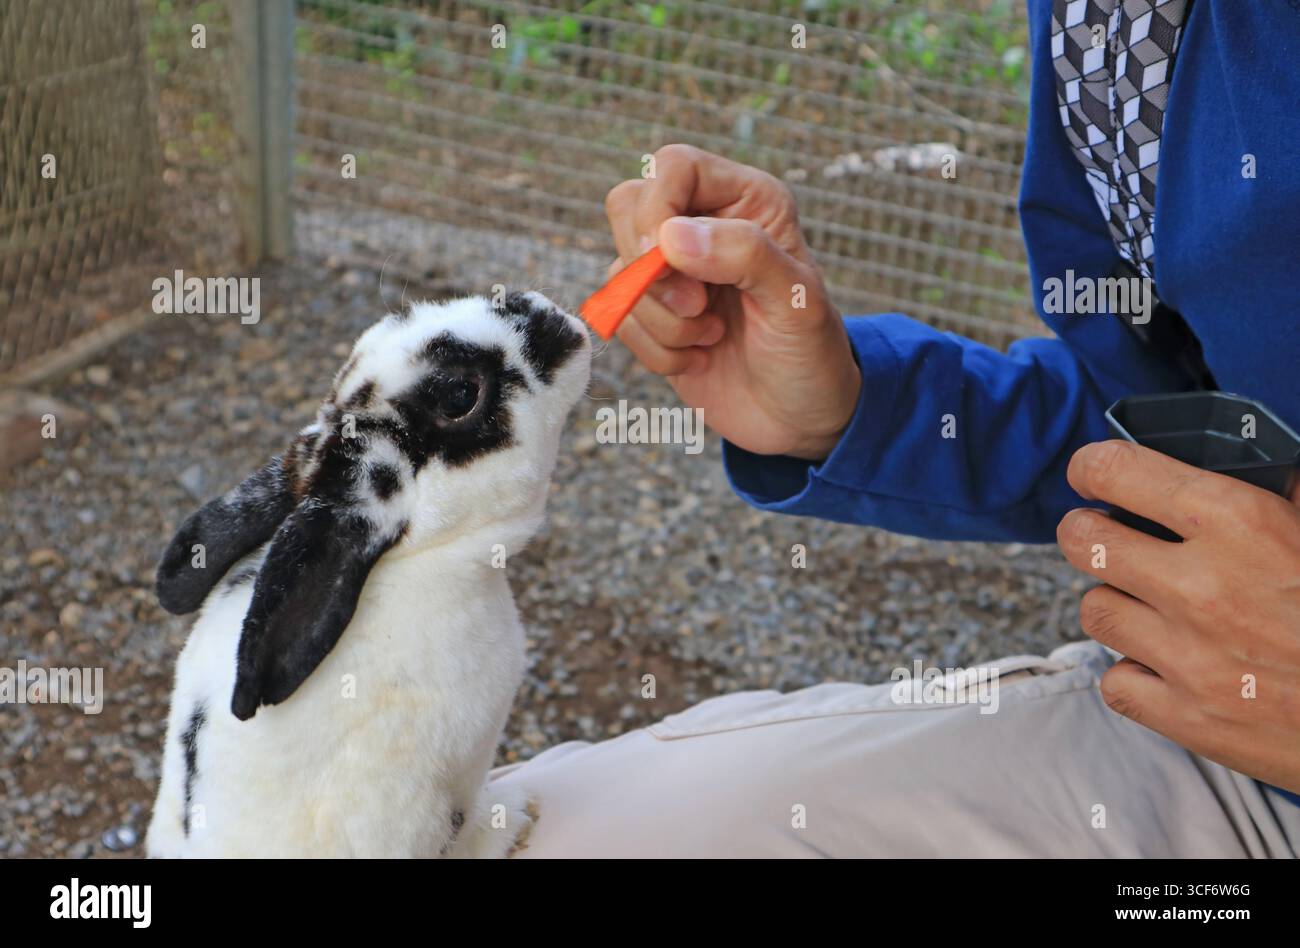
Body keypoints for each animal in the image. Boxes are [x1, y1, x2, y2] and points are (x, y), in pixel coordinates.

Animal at [145, 291, 591, 858]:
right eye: (459, 395)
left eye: (406, 314)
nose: (530, 305)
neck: (417, 561)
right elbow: (470, 831)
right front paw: (516, 819)